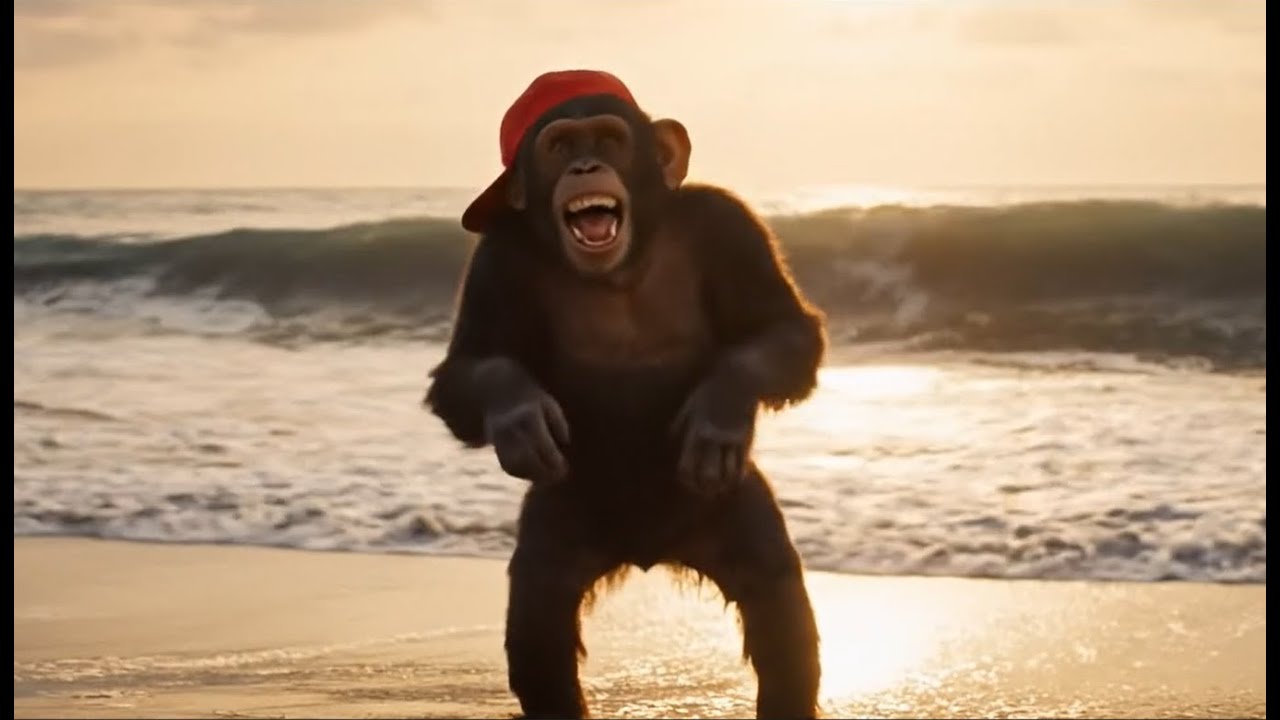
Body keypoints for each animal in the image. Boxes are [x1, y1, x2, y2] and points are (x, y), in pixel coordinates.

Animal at [425, 70, 825, 719]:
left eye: (608, 139)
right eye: (560, 146)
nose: (585, 165)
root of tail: (648, 549)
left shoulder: (730, 226)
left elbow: (782, 328)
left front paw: (719, 410)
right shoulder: (496, 260)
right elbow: (468, 369)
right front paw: (517, 412)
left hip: (729, 510)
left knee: (775, 600)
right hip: (563, 521)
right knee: (539, 618)